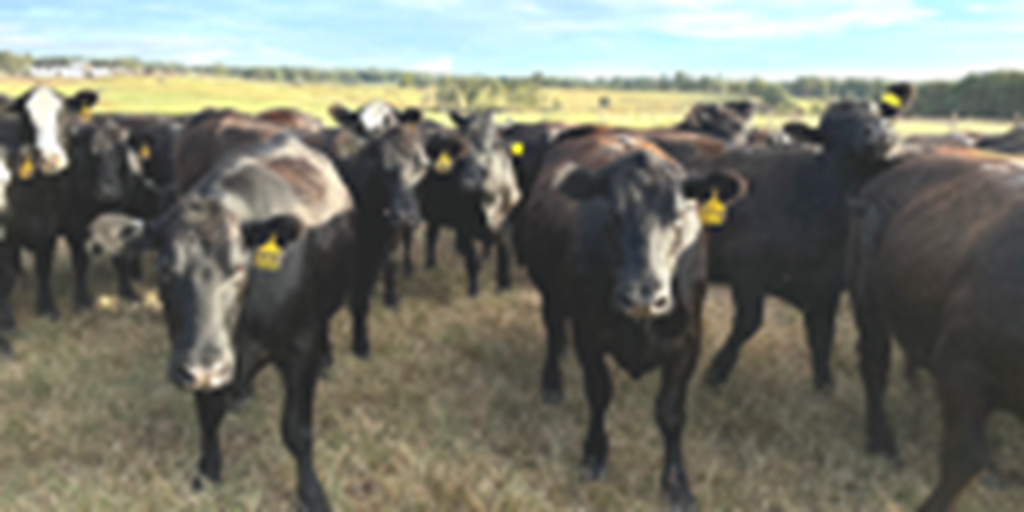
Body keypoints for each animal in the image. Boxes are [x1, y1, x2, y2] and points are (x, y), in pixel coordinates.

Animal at [87, 127, 357, 512]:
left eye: (241, 268)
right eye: (164, 269)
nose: (206, 368)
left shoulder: (299, 345)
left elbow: (297, 429)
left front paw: (311, 493)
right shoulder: (190, 355)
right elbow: (208, 415)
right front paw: (207, 474)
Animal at [518, 128, 746, 511]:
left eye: (680, 216)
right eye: (612, 214)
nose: (643, 298)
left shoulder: (688, 341)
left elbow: (670, 413)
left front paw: (676, 484)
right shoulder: (589, 334)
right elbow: (599, 393)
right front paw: (595, 456)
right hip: (548, 290)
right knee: (553, 330)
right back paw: (552, 381)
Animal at [697, 84, 915, 392]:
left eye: (881, 112)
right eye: (831, 130)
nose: (879, 132)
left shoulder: (825, 287)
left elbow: (821, 338)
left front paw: (824, 387)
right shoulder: (747, 273)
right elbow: (748, 323)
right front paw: (715, 374)